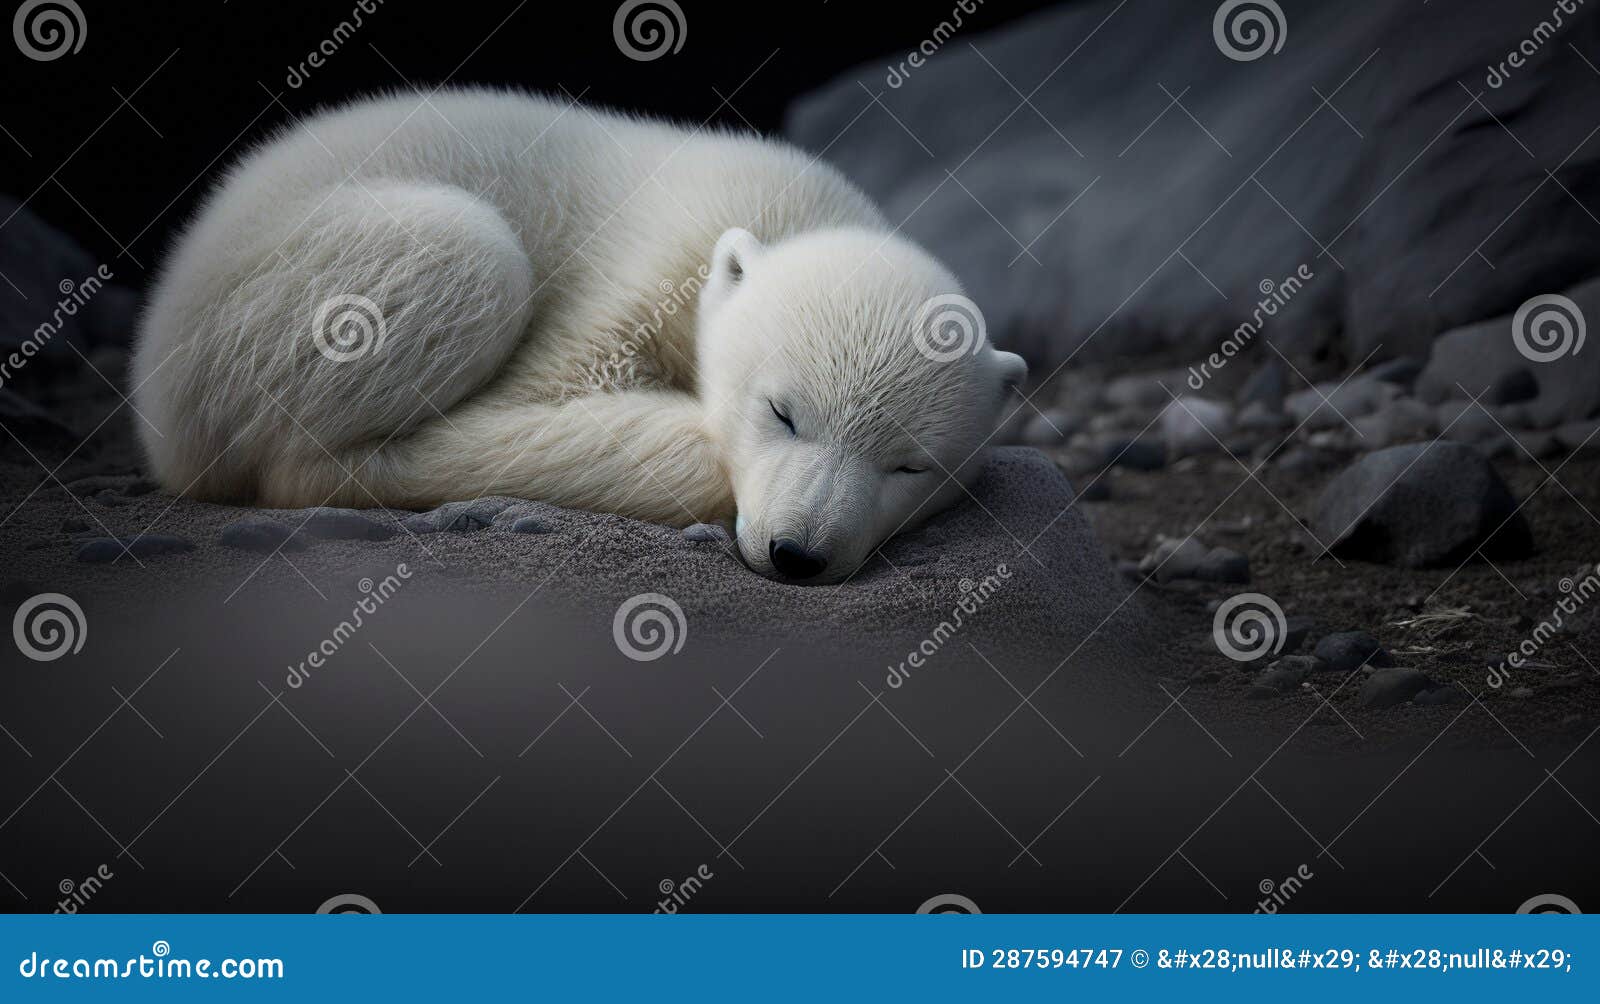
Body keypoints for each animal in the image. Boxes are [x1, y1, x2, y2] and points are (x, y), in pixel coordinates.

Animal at [131, 89, 1026, 583]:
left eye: (912, 465)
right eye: (783, 413)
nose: (796, 553)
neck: (789, 214)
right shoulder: (649, 267)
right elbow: (549, 399)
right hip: (266, 295)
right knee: (467, 254)